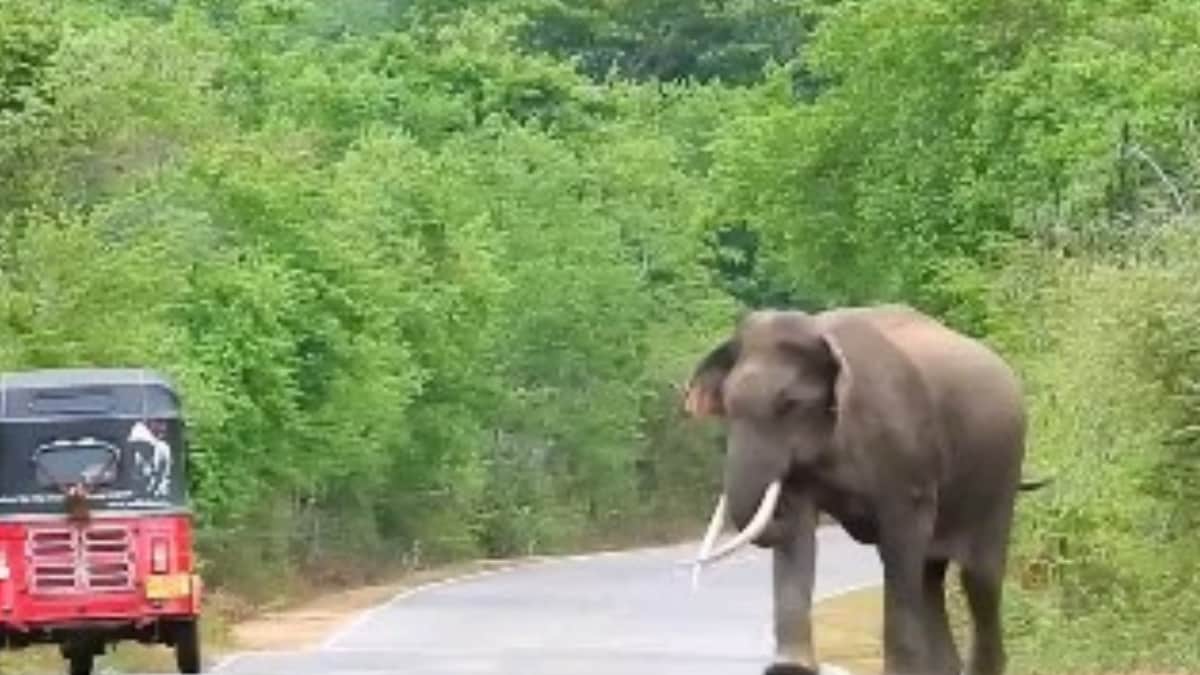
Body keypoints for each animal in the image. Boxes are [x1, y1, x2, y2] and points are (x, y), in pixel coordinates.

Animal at [683, 305, 1044, 675]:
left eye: (790, 404)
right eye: (727, 406)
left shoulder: (905, 462)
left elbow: (901, 542)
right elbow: (798, 533)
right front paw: (790, 668)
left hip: (1000, 475)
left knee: (978, 577)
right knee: (930, 574)